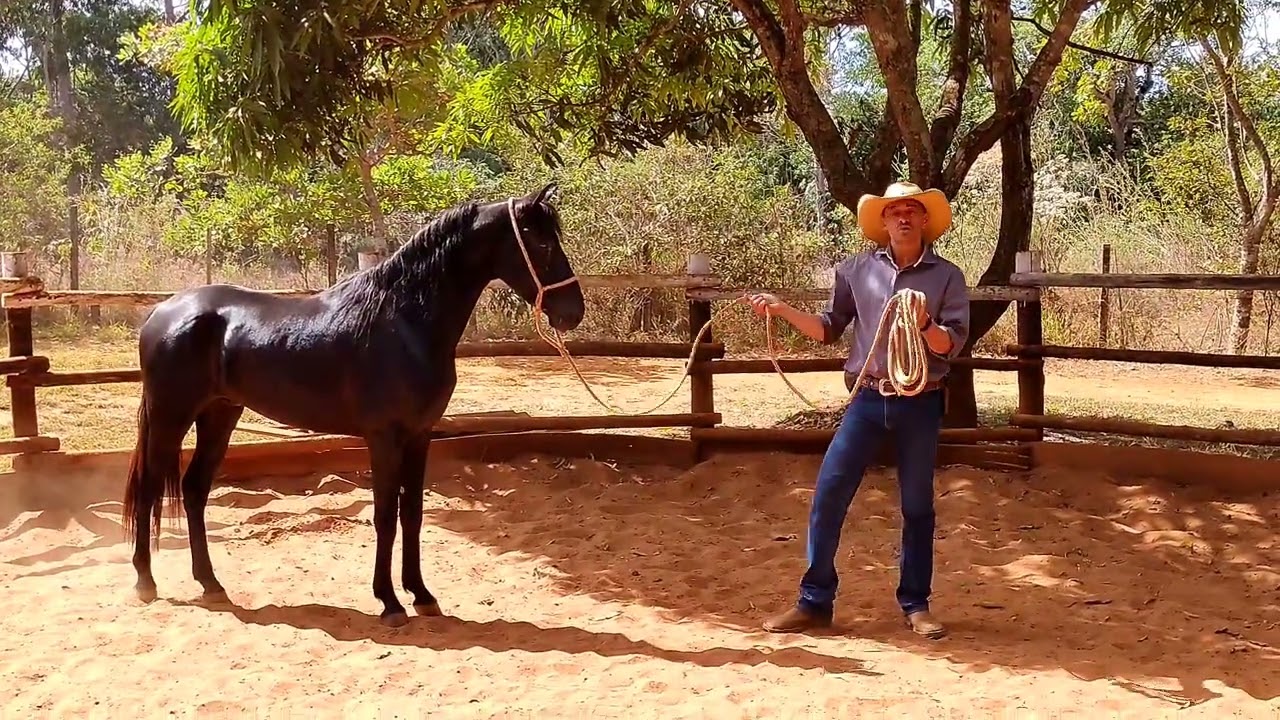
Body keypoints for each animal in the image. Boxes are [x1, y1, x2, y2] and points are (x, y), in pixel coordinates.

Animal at [121, 182, 585, 627]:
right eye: (541, 243)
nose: (573, 312)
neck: (403, 323)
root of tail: (162, 311)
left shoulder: (420, 436)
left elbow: (412, 513)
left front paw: (422, 595)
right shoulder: (383, 438)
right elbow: (384, 515)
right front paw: (389, 602)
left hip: (219, 414)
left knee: (194, 490)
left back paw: (211, 584)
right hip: (171, 415)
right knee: (150, 488)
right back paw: (145, 582)